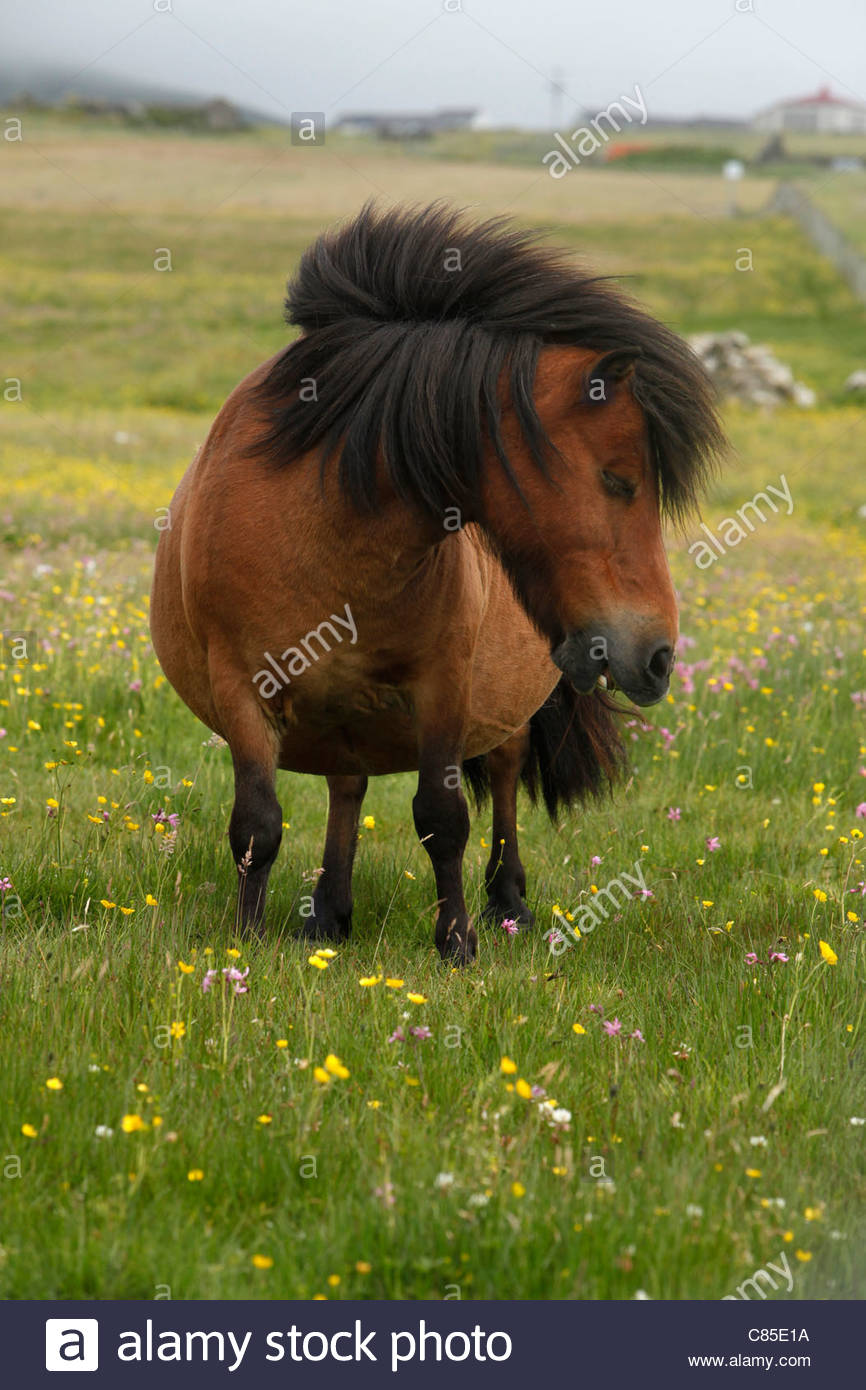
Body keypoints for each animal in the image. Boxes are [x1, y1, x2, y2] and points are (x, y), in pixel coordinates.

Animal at [150, 202, 723, 964]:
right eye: (618, 479)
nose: (657, 656)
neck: (323, 529)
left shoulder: (445, 685)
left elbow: (441, 817)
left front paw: (457, 943)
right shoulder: (242, 685)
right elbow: (256, 825)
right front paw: (246, 945)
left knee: (504, 773)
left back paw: (506, 901)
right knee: (347, 786)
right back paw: (328, 913)